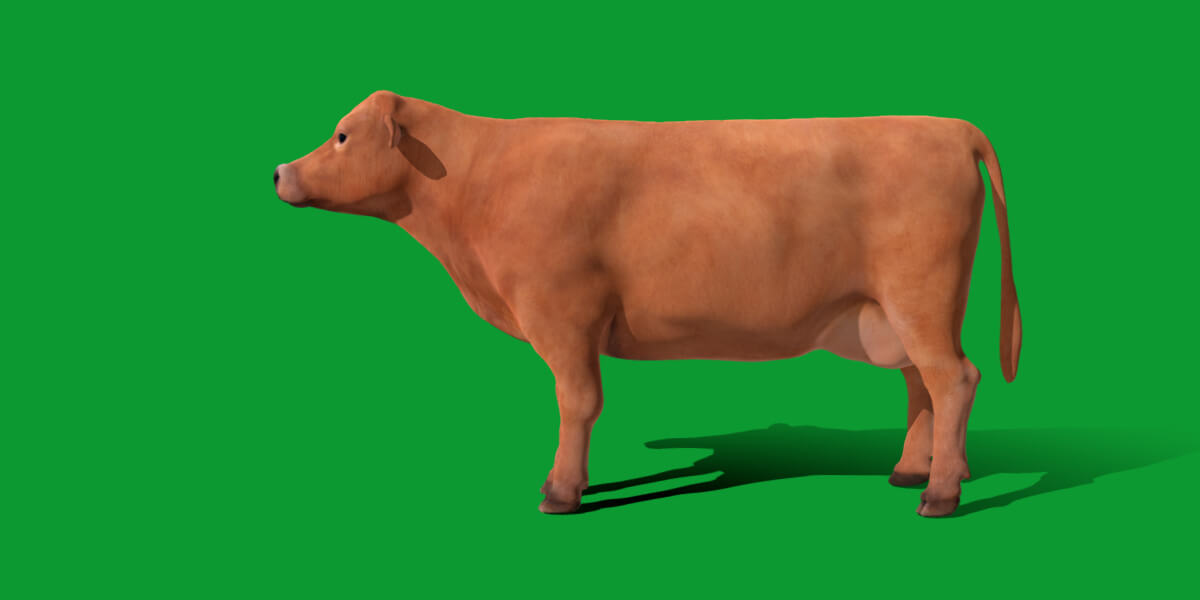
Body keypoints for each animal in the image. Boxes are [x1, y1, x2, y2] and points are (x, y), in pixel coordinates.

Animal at [273, 91, 1022, 517]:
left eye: (342, 135)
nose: (279, 171)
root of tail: (951, 126)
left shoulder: (563, 311)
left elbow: (577, 402)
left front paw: (561, 492)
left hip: (919, 293)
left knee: (953, 379)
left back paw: (940, 494)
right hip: (898, 309)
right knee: (921, 384)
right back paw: (911, 471)